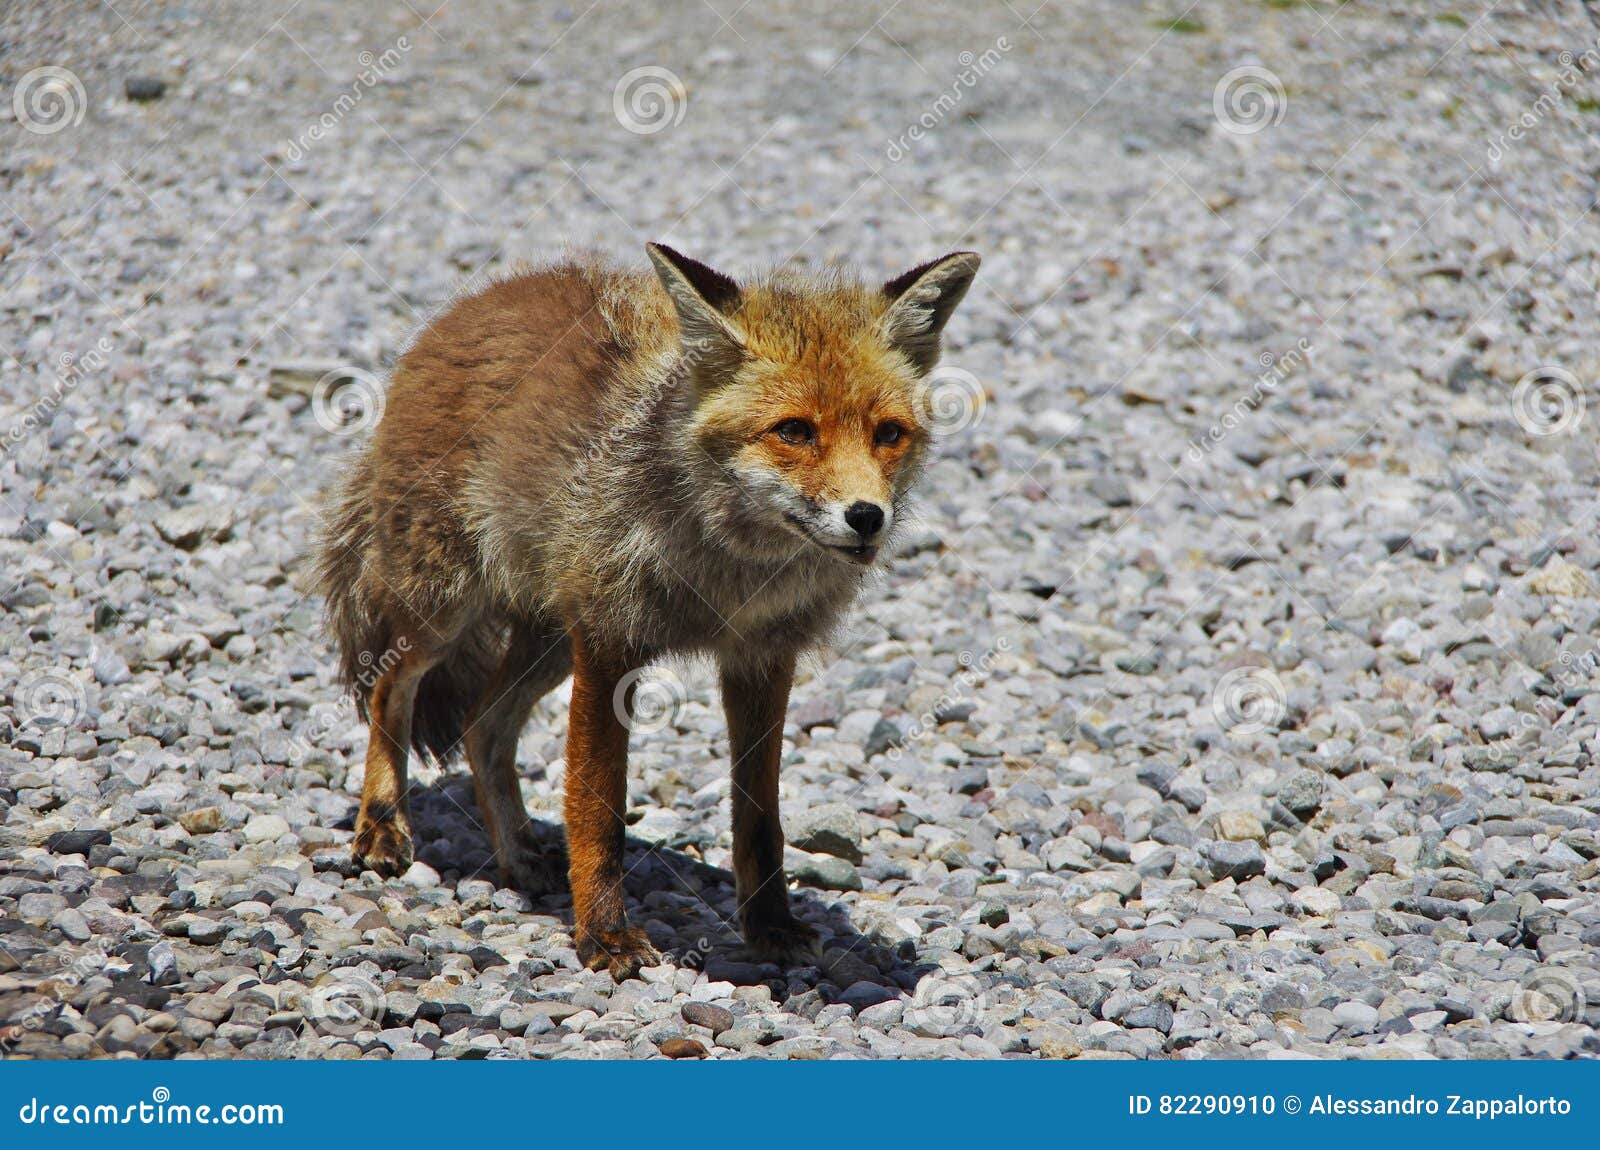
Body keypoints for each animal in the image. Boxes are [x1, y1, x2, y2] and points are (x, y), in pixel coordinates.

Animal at [313, 242, 980, 980]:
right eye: (794, 432)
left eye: (888, 434)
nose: (866, 517)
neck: (731, 575)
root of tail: (473, 303)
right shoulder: (610, 646)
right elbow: (599, 808)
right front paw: (604, 936)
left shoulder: (762, 658)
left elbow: (760, 816)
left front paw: (770, 926)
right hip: (445, 608)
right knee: (389, 691)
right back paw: (382, 825)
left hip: (549, 639)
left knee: (482, 726)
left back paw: (518, 856)